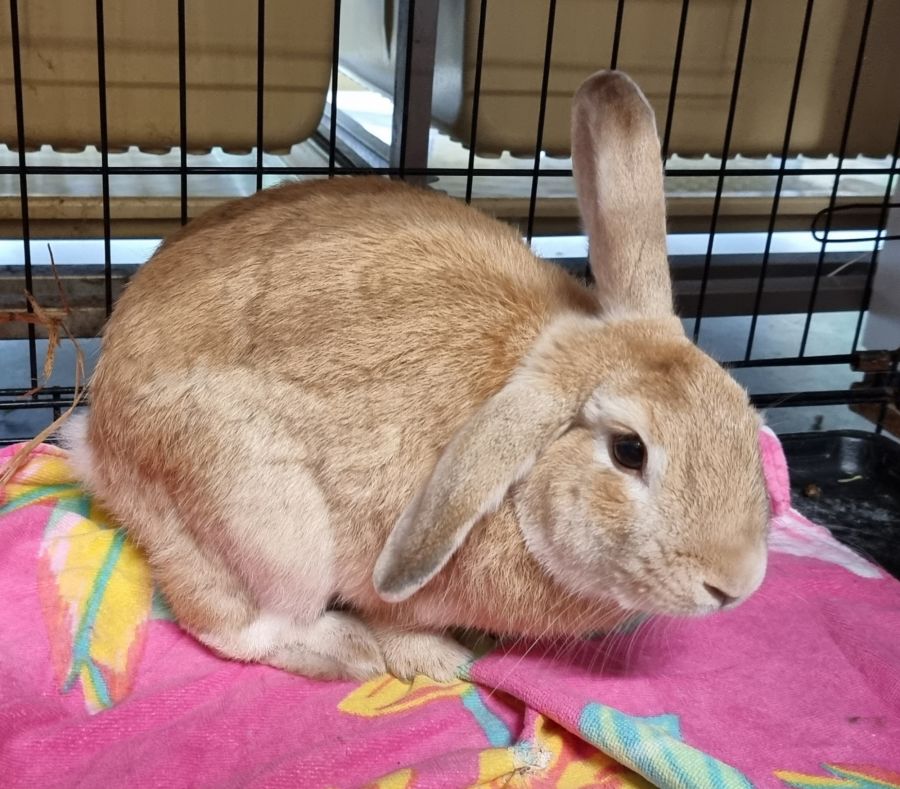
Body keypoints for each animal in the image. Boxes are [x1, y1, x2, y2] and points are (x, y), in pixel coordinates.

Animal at [61, 71, 769, 683]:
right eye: (629, 451)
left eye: (743, 412)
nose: (736, 586)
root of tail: (99, 436)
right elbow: (396, 619)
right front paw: (438, 661)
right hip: (264, 518)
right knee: (228, 624)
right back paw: (345, 652)